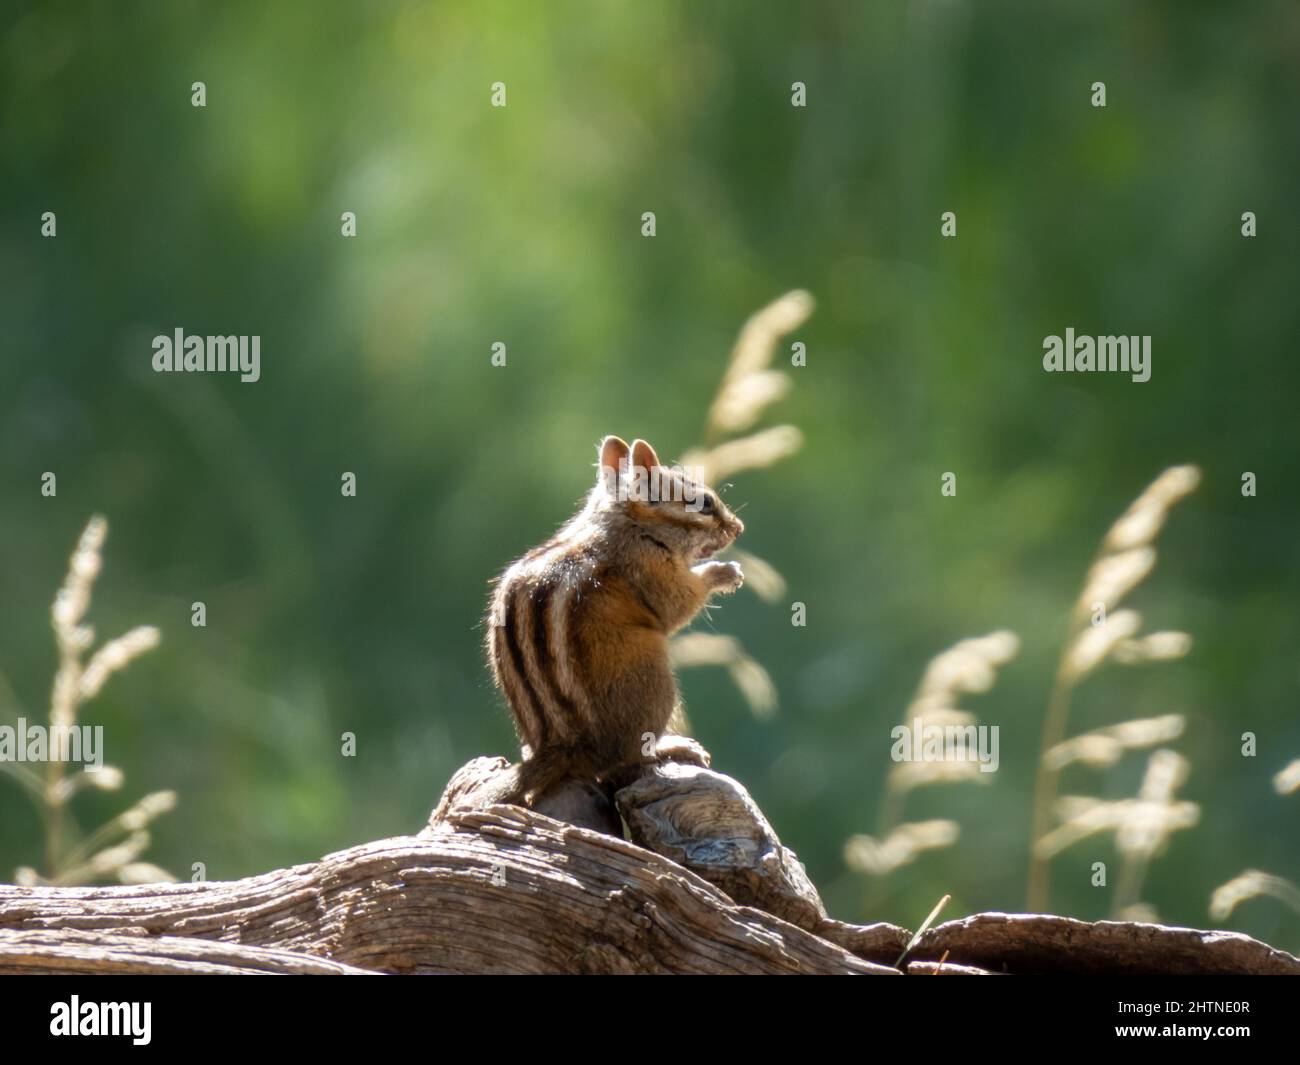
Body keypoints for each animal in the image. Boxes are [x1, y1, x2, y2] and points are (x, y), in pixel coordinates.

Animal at [486, 435, 745, 806]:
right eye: (704, 503)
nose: (738, 528)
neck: (627, 524)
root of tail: (565, 748)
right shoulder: (650, 569)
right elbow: (677, 605)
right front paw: (725, 573)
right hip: (655, 685)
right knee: (627, 757)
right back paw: (672, 746)